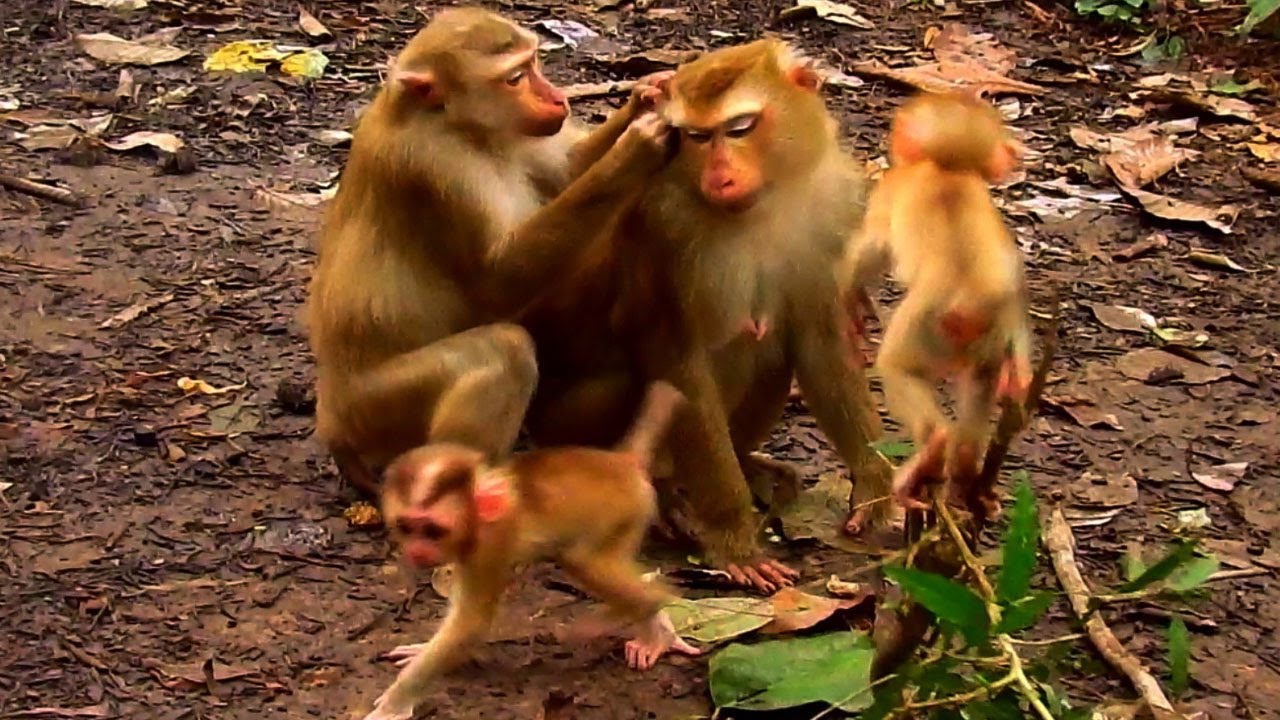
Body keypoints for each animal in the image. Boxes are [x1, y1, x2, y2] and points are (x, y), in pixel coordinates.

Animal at [305, 7, 675, 497]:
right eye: (515, 78)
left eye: (535, 62)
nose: (558, 98)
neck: (460, 127)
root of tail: (330, 418)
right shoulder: (436, 166)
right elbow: (496, 285)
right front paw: (635, 150)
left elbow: (567, 171)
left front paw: (645, 96)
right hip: (376, 409)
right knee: (503, 354)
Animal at [362, 382, 701, 720]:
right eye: (407, 526)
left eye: (432, 530)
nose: (416, 551)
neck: (480, 510)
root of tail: (622, 462)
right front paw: (421, 651)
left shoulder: (490, 545)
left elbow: (470, 625)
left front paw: (395, 704)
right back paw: (654, 625)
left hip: (629, 510)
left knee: (582, 560)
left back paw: (647, 613)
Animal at [522, 39, 895, 593]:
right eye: (697, 137)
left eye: (739, 128)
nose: (719, 176)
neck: (762, 206)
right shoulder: (661, 230)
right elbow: (680, 362)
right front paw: (734, 539)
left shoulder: (830, 209)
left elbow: (818, 336)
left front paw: (873, 481)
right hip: (564, 421)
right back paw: (664, 495)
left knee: (769, 346)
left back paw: (747, 466)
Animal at [839, 91, 1032, 514]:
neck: (950, 167)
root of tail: (972, 298)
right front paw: (1021, 371)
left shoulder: (888, 191)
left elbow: (866, 254)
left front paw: (848, 303)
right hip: (986, 337)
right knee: (981, 385)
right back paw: (966, 471)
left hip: (923, 326)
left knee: (896, 368)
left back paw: (932, 450)